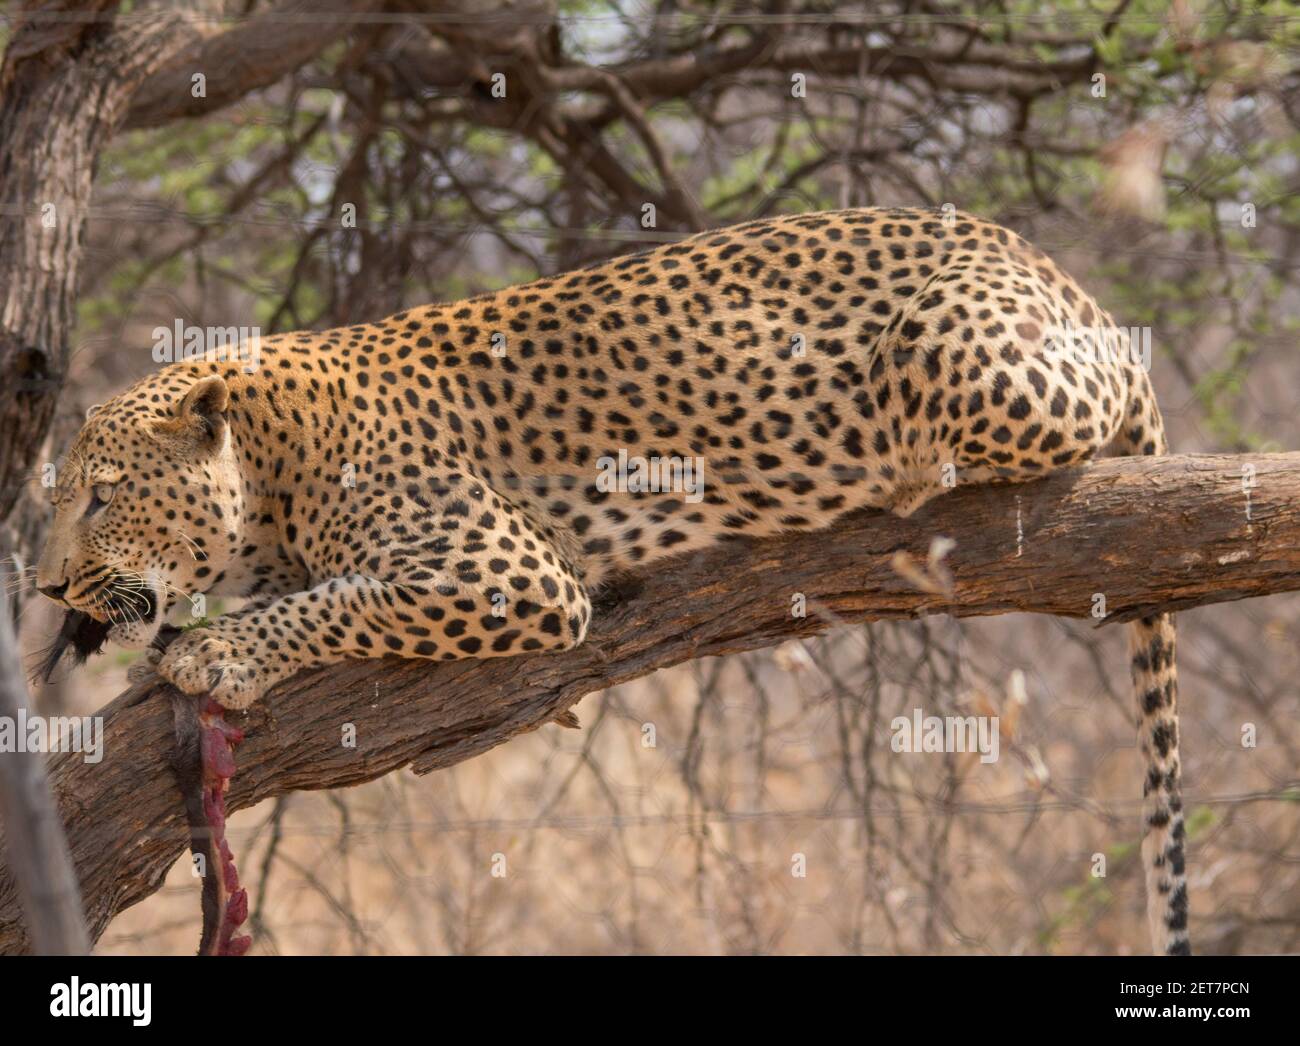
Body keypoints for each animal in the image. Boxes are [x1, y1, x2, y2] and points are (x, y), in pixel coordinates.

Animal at [34, 206, 1188, 955]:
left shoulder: (505, 567)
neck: (268, 473)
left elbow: (340, 598)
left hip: (947, 354)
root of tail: (1074, 286)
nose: (44, 590)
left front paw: (221, 652)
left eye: (99, 497)